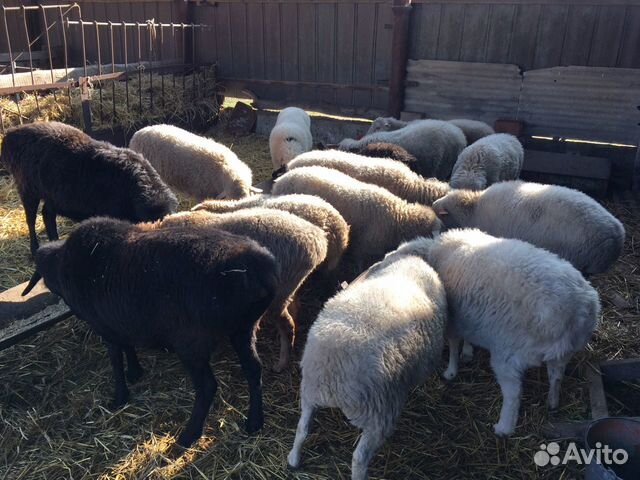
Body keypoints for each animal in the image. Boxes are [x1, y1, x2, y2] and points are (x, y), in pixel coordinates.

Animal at [0, 121, 178, 256]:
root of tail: (10, 134)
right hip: (27, 188)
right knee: (31, 219)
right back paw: (34, 249)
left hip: (54, 194)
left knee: (47, 214)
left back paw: (54, 240)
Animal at [22, 217, 279, 447]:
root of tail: (258, 267)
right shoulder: (121, 320)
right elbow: (128, 345)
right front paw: (135, 372)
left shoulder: (104, 325)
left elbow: (115, 360)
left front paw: (120, 396)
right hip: (243, 328)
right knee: (253, 369)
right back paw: (254, 422)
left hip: (191, 341)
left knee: (207, 387)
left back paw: (189, 435)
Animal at [287, 243, 446, 480]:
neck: (408, 257)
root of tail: (332, 374)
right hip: (378, 414)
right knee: (359, 457)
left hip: (308, 392)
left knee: (302, 429)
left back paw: (293, 459)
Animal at [397, 230, 600, 437]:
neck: (435, 253)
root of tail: (577, 310)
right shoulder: (466, 317)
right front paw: (468, 352)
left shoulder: (453, 320)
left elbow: (453, 346)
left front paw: (451, 371)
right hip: (562, 353)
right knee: (556, 376)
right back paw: (552, 402)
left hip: (509, 352)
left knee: (513, 394)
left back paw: (504, 428)